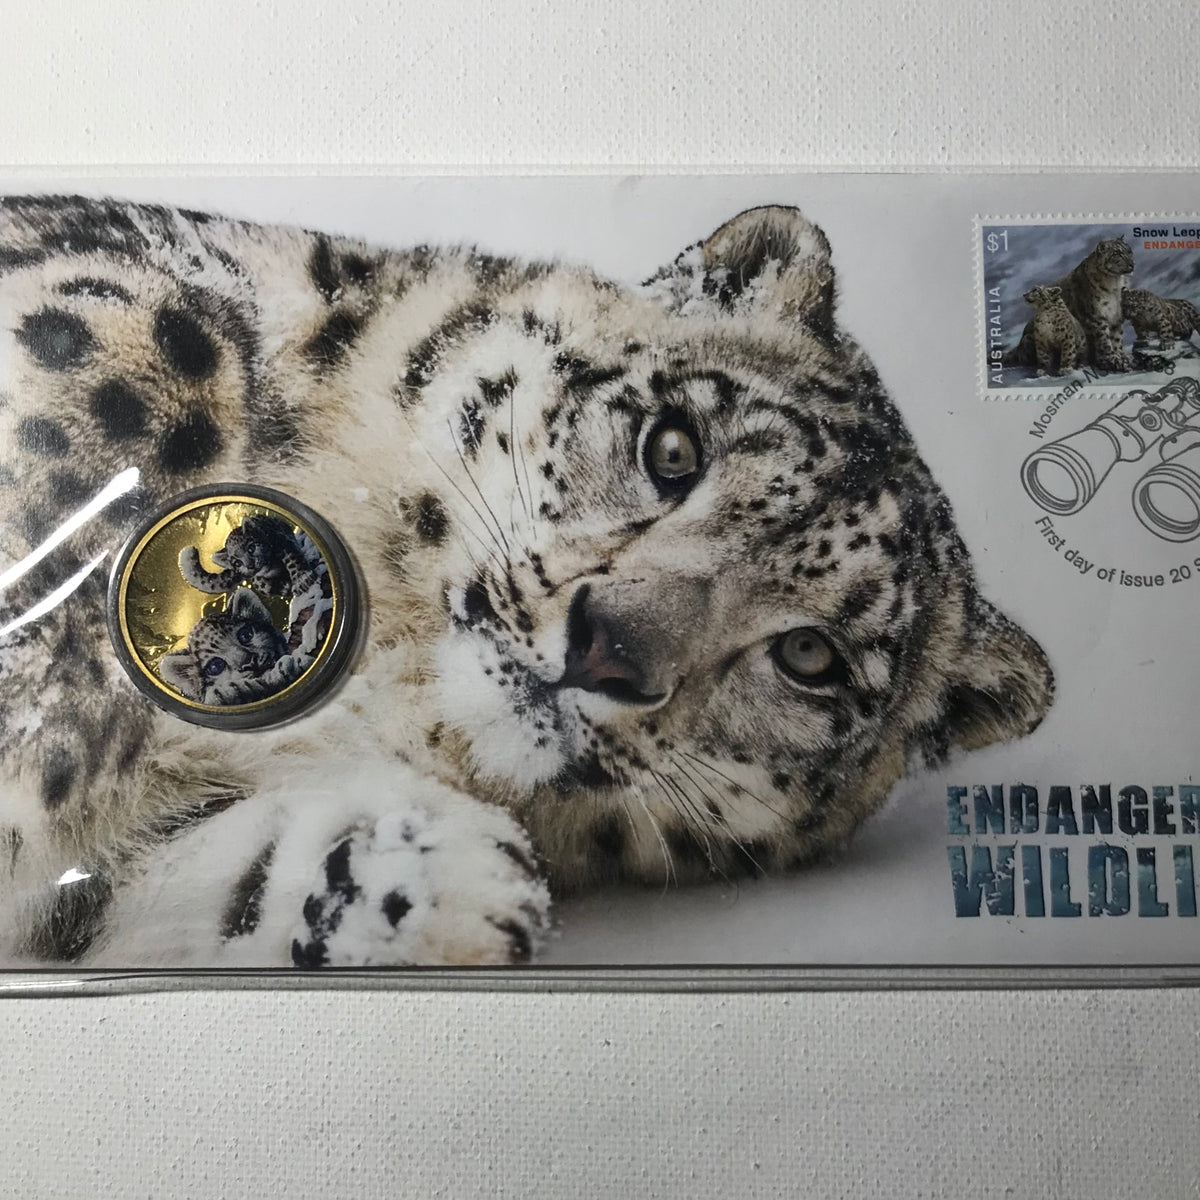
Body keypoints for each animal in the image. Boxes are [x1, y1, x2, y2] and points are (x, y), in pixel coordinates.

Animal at [1005, 236, 1135, 374]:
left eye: (1129, 251)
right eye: (1117, 253)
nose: (1132, 264)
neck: (1115, 284)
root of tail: (1018, 345)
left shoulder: (1116, 317)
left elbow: (1117, 340)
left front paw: (1121, 357)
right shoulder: (1096, 317)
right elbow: (1104, 341)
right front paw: (1110, 360)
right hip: (1032, 339)